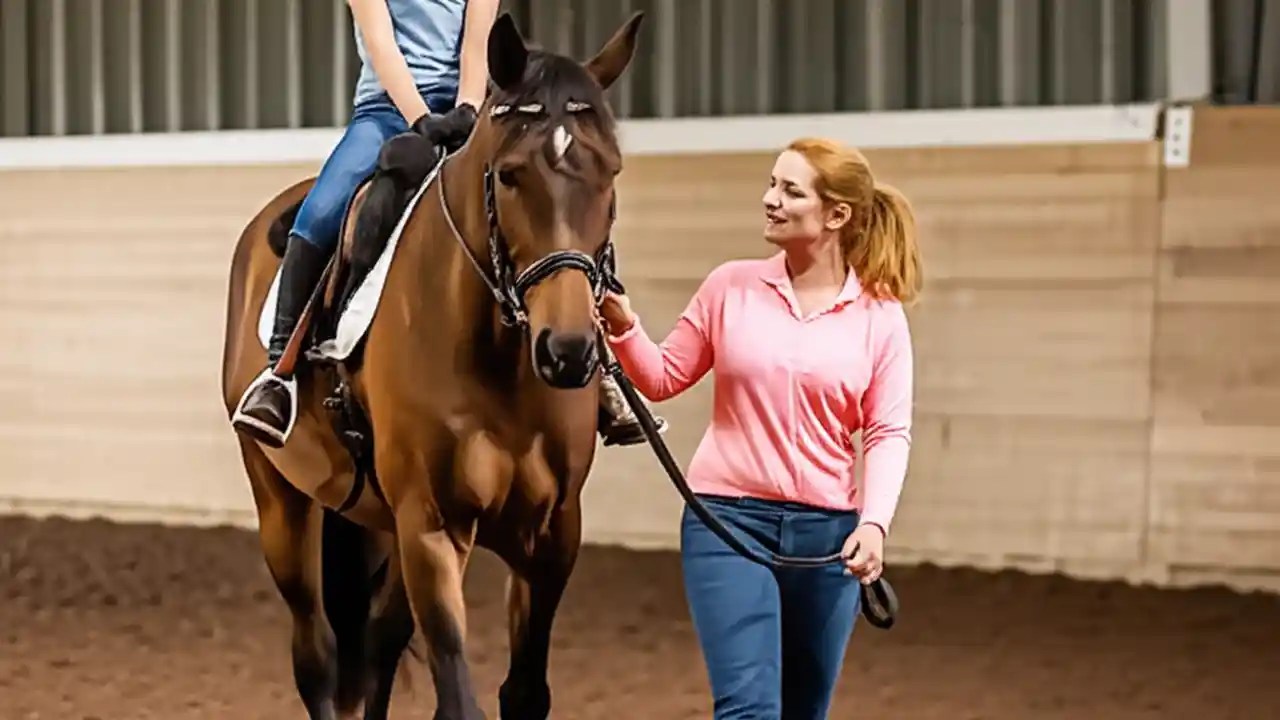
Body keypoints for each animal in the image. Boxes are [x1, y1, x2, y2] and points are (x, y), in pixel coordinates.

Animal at [219, 12, 646, 720]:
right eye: (509, 175)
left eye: (610, 173)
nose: (567, 351)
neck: (500, 366)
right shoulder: (432, 529)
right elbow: (458, 695)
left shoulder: (553, 534)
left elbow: (523, 692)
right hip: (281, 501)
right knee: (317, 656)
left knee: (380, 640)